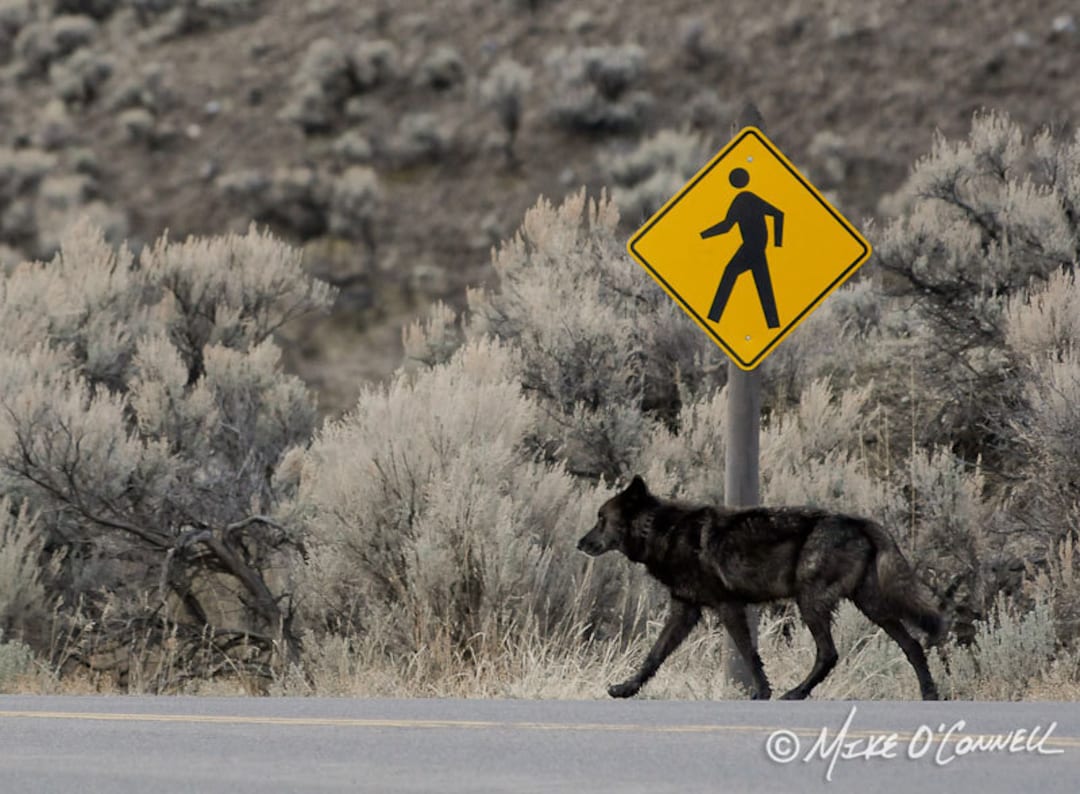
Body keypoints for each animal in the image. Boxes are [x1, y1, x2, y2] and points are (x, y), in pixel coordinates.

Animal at [577, 476, 943, 701]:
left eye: (601, 519)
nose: (580, 544)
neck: (664, 531)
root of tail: (859, 521)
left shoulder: (728, 607)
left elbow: (749, 655)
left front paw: (763, 693)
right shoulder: (685, 610)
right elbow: (653, 656)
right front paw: (625, 689)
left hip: (810, 603)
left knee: (829, 653)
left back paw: (796, 693)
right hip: (872, 606)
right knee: (912, 645)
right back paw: (930, 693)